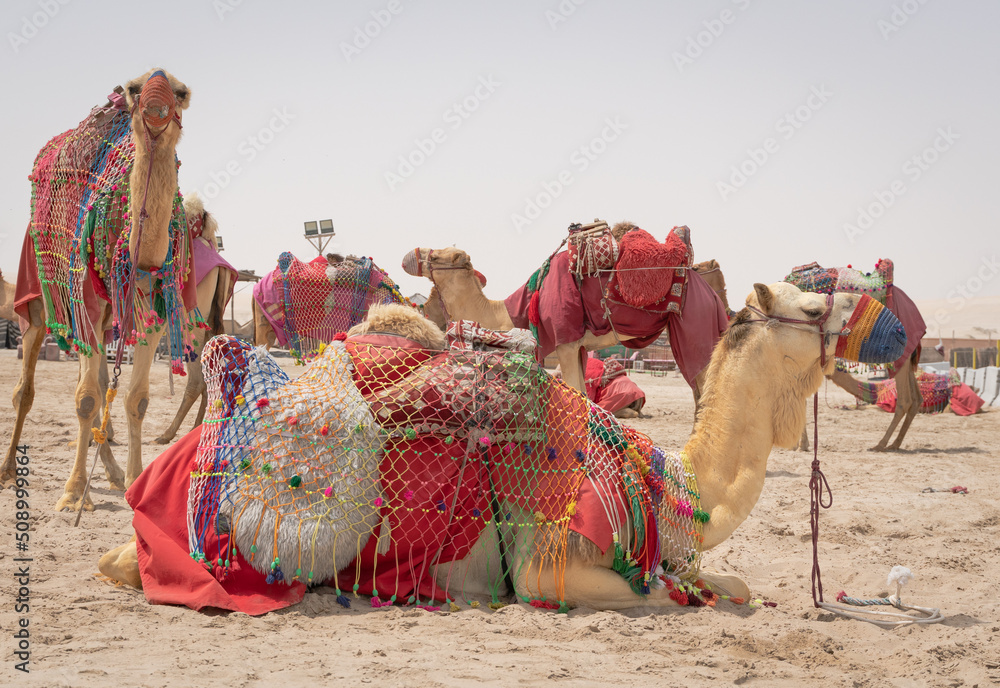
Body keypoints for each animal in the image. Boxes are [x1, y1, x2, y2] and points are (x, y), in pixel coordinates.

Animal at [1, 69, 192, 511]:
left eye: (180, 92)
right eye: (135, 88)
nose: (154, 102)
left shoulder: (151, 308)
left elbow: (136, 398)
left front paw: (137, 481)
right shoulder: (85, 304)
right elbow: (86, 398)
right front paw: (72, 493)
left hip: (106, 322)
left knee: (104, 383)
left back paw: (113, 474)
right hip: (38, 302)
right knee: (26, 388)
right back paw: (8, 471)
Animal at [98, 283, 907, 611]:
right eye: (814, 306)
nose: (883, 324)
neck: (673, 488)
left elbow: (725, 583)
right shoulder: (549, 561)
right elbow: (665, 592)